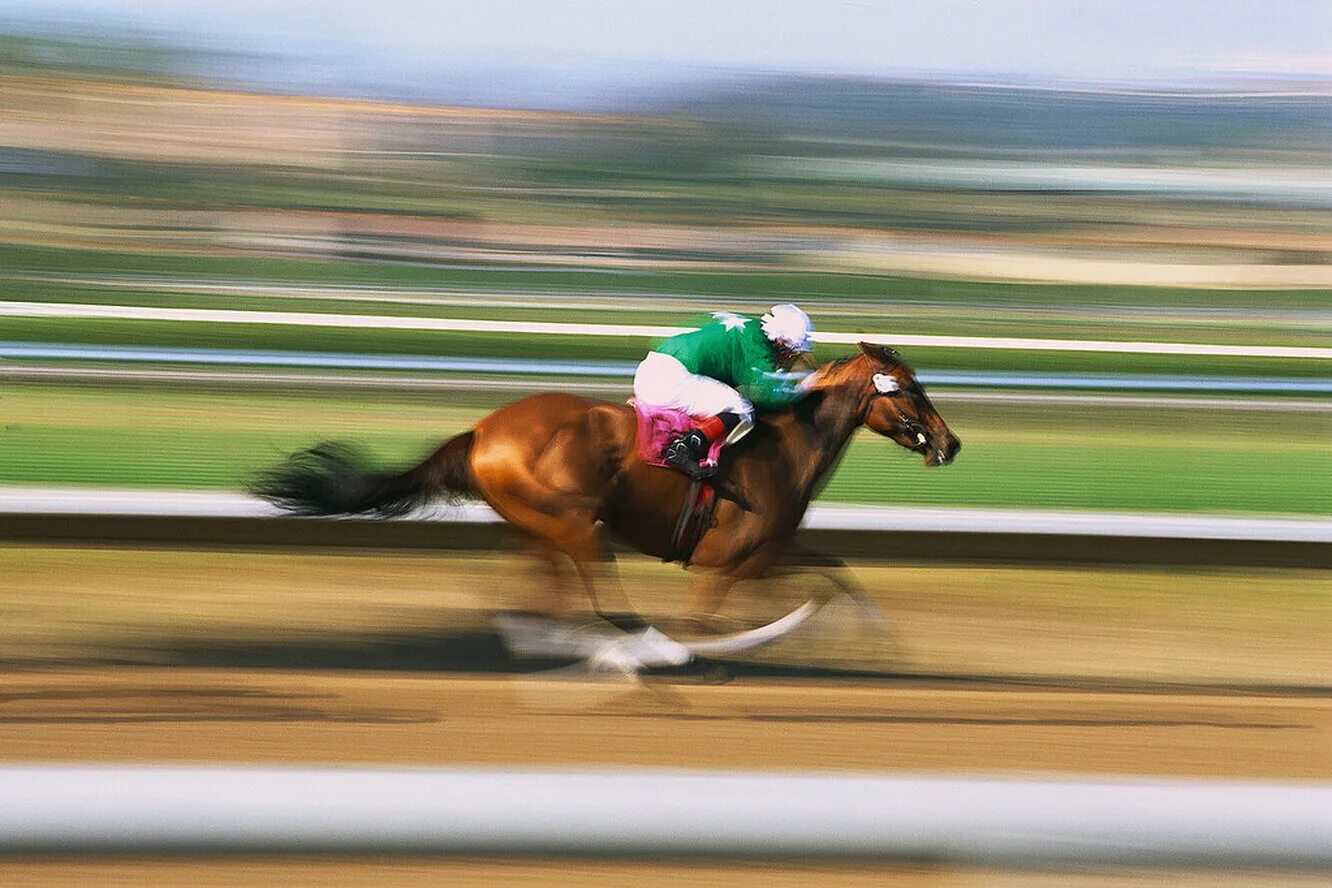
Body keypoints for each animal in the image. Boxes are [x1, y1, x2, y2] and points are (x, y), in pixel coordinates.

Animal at [251, 343, 959, 670]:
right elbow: (714, 616)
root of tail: (482, 429)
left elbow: (841, 574)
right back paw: (636, 652)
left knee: (532, 593)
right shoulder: (735, 560)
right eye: (912, 390)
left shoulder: (774, 549)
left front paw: (881, 642)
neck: (788, 445)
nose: (950, 444)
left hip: (538, 527)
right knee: (601, 602)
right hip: (575, 524)